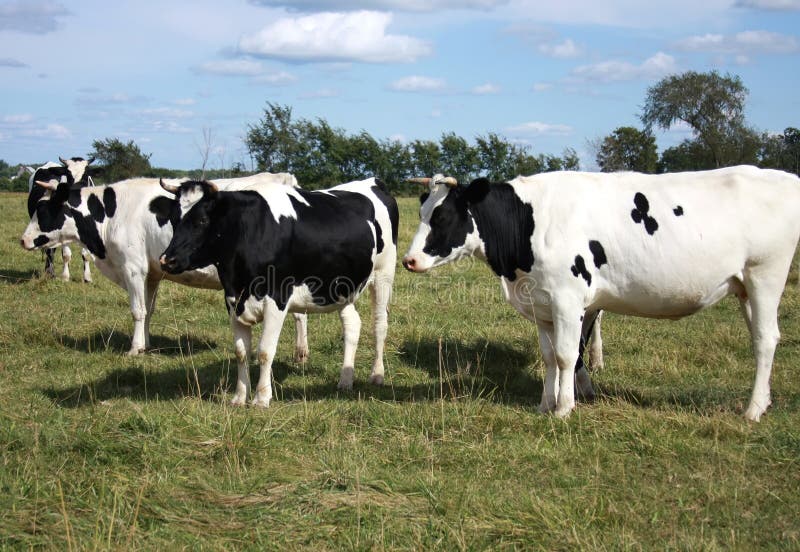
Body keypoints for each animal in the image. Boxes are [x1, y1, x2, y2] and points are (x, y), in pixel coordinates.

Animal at [20, 172, 310, 362]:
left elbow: (137, 311)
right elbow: (148, 310)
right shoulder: (152, 273)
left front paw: (134, 348)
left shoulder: (133, 268)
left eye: (42, 210)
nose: (23, 239)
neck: (114, 213)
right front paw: (146, 344)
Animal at [158, 177, 398, 407]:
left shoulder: (277, 299)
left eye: (202, 220)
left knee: (380, 325)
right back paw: (345, 380)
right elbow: (241, 353)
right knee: (352, 324)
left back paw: (377, 374)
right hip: (342, 287)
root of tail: (372, 181)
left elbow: (265, 351)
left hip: (384, 275)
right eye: (174, 220)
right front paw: (239, 398)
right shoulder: (232, 300)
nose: (167, 260)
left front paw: (261, 398)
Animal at [402, 168, 800, 422]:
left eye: (443, 216)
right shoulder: (541, 304)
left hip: (766, 275)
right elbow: (549, 358)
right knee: (760, 337)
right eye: (421, 212)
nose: (409, 259)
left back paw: (751, 411)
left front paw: (564, 409)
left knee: (765, 339)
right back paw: (763, 403)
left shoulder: (567, 300)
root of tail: (784, 176)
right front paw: (544, 405)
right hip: (744, 287)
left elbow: (566, 356)